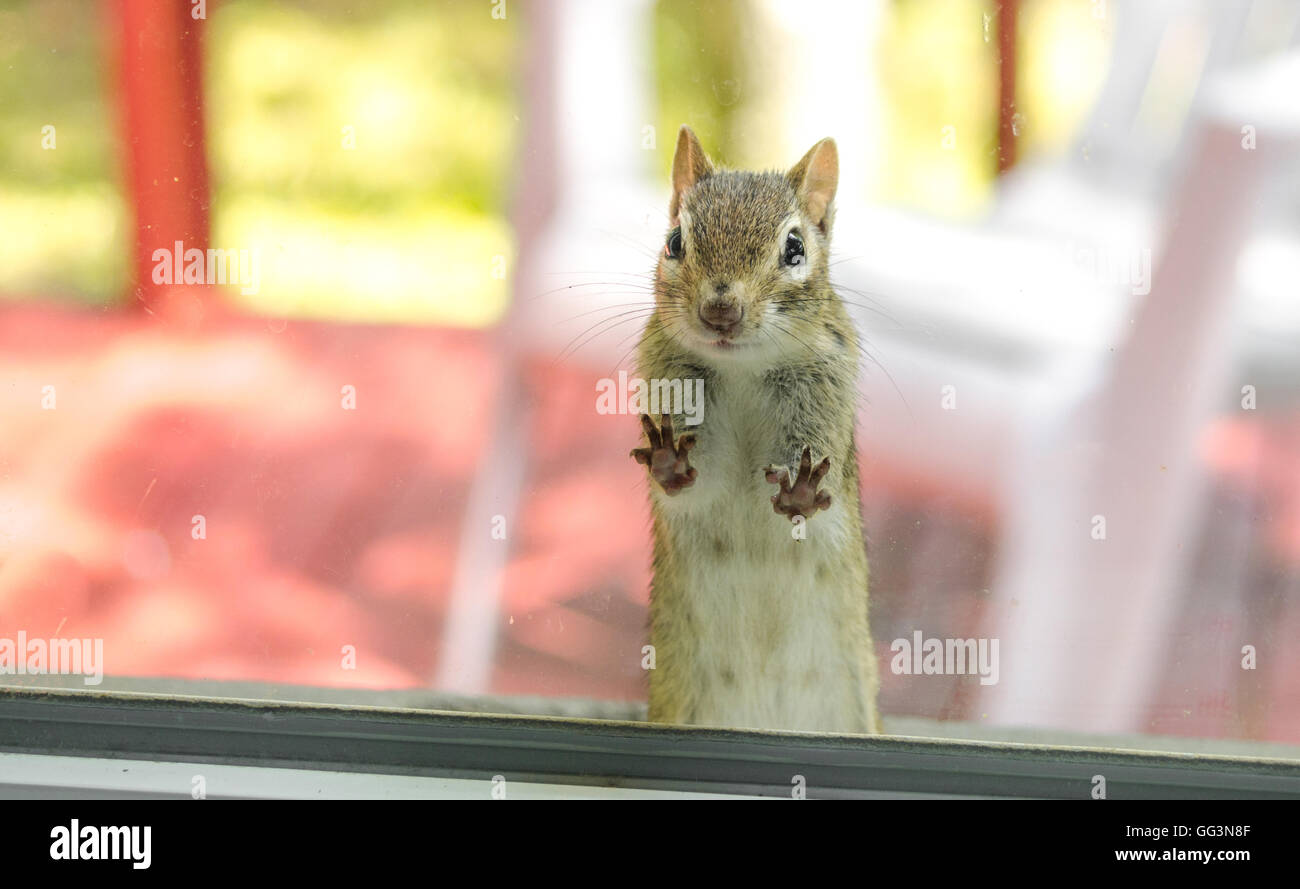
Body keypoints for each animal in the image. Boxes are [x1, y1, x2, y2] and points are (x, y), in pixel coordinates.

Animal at [631, 126, 879, 734]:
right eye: (675, 241)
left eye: (795, 248)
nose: (721, 310)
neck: (742, 370)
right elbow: (694, 488)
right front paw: (669, 461)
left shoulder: (825, 409)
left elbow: (820, 512)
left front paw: (802, 490)